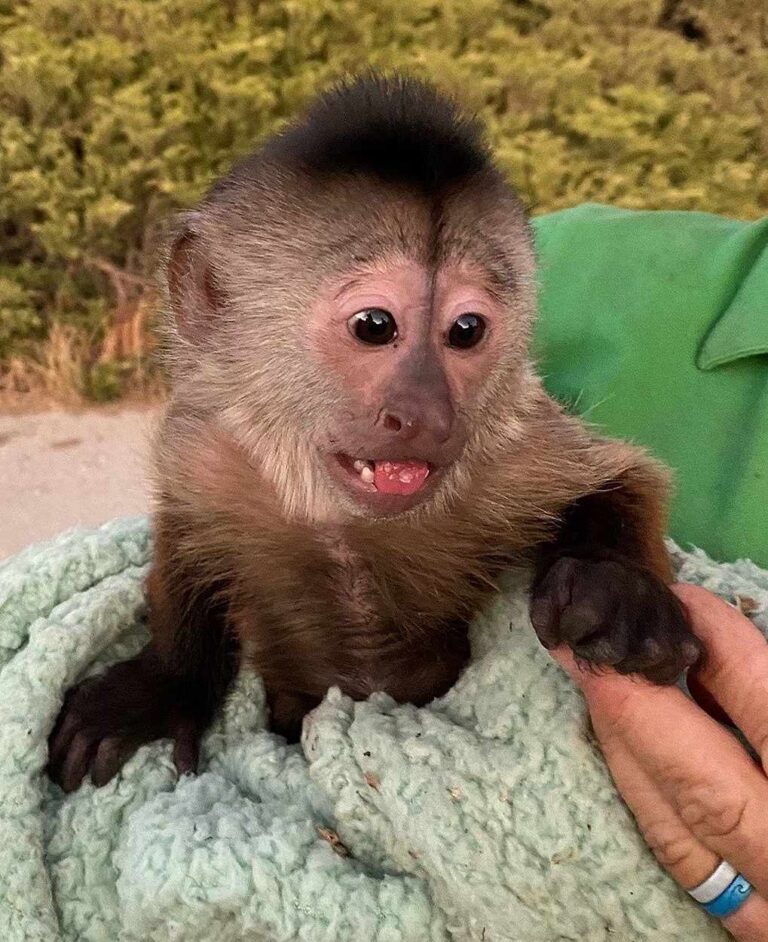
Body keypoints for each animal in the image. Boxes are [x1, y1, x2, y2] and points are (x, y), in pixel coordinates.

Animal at [48, 75, 701, 793]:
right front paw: (161, 684)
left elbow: (620, 477)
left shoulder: (509, 447)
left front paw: (616, 587)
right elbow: (188, 540)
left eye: (466, 331)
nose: (427, 415)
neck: (342, 520)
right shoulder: (209, 450)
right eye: (374, 326)